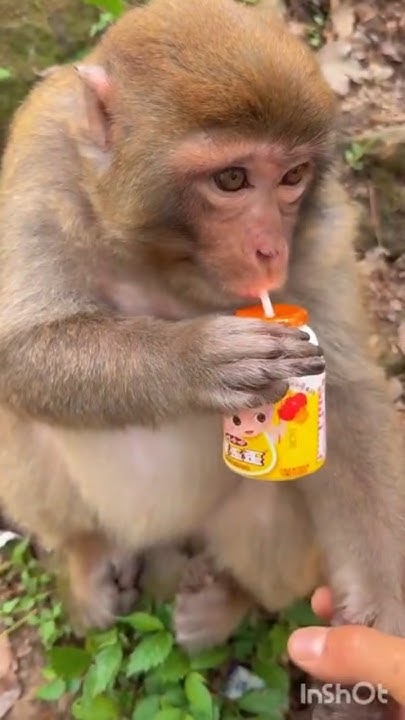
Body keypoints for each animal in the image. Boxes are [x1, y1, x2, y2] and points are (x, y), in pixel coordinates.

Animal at [0, 1, 404, 719]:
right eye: (232, 179)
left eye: (293, 177)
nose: (271, 248)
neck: (164, 258)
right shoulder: (39, 159)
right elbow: (17, 347)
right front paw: (200, 359)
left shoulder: (323, 224)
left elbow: (350, 390)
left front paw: (377, 616)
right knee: (18, 420)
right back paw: (86, 558)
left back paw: (225, 602)